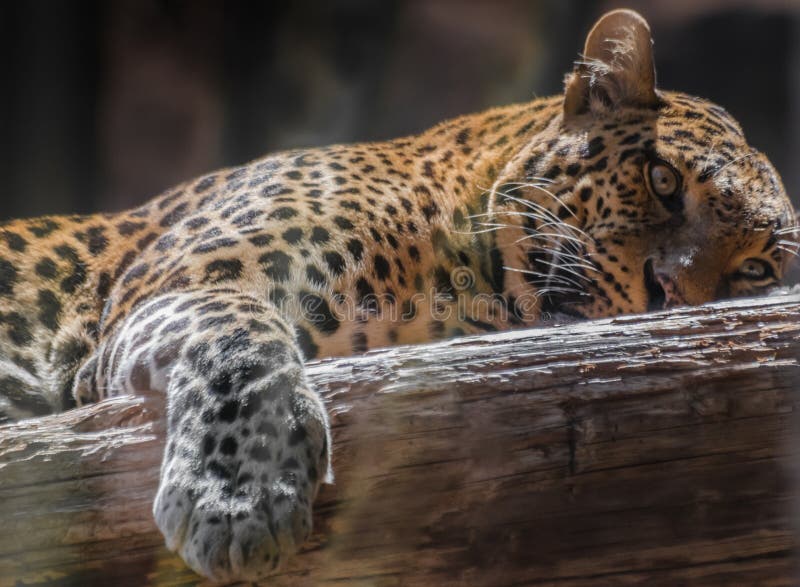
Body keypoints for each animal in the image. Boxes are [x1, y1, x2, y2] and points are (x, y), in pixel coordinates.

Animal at [0, 8, 796, 582]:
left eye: (754, 269)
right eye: (663, 181)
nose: (670, 293)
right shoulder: (174, 287)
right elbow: (239, 335)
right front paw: (238, 497)